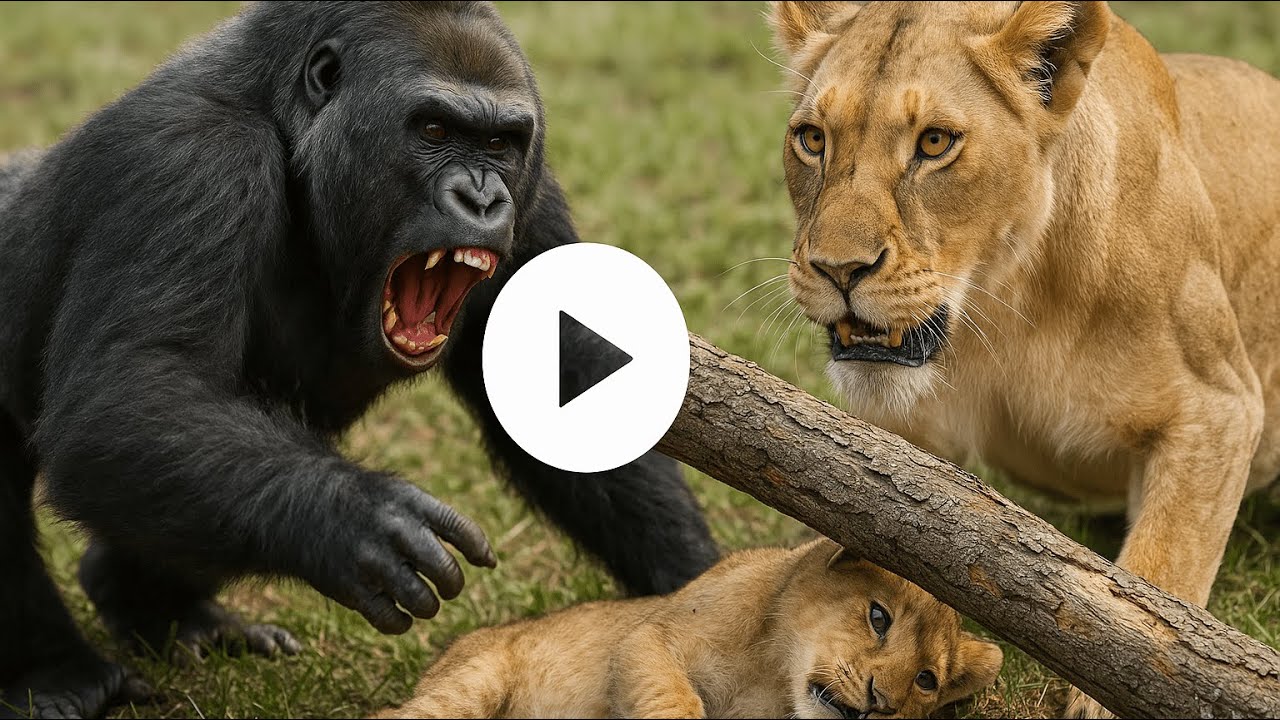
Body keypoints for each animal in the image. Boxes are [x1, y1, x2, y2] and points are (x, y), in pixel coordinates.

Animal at [374, 538, 1002, 719]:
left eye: (926, 680)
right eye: (878, 617)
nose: (881, 704)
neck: (770, 679)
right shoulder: (651, 637)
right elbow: (671, 694)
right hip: (473, 680)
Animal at [768, 1, 1280, 715]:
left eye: (934, 143)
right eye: (813, 139)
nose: (838, 269)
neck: (1002, 303)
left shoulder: (1221, 404)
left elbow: (1160, 587)